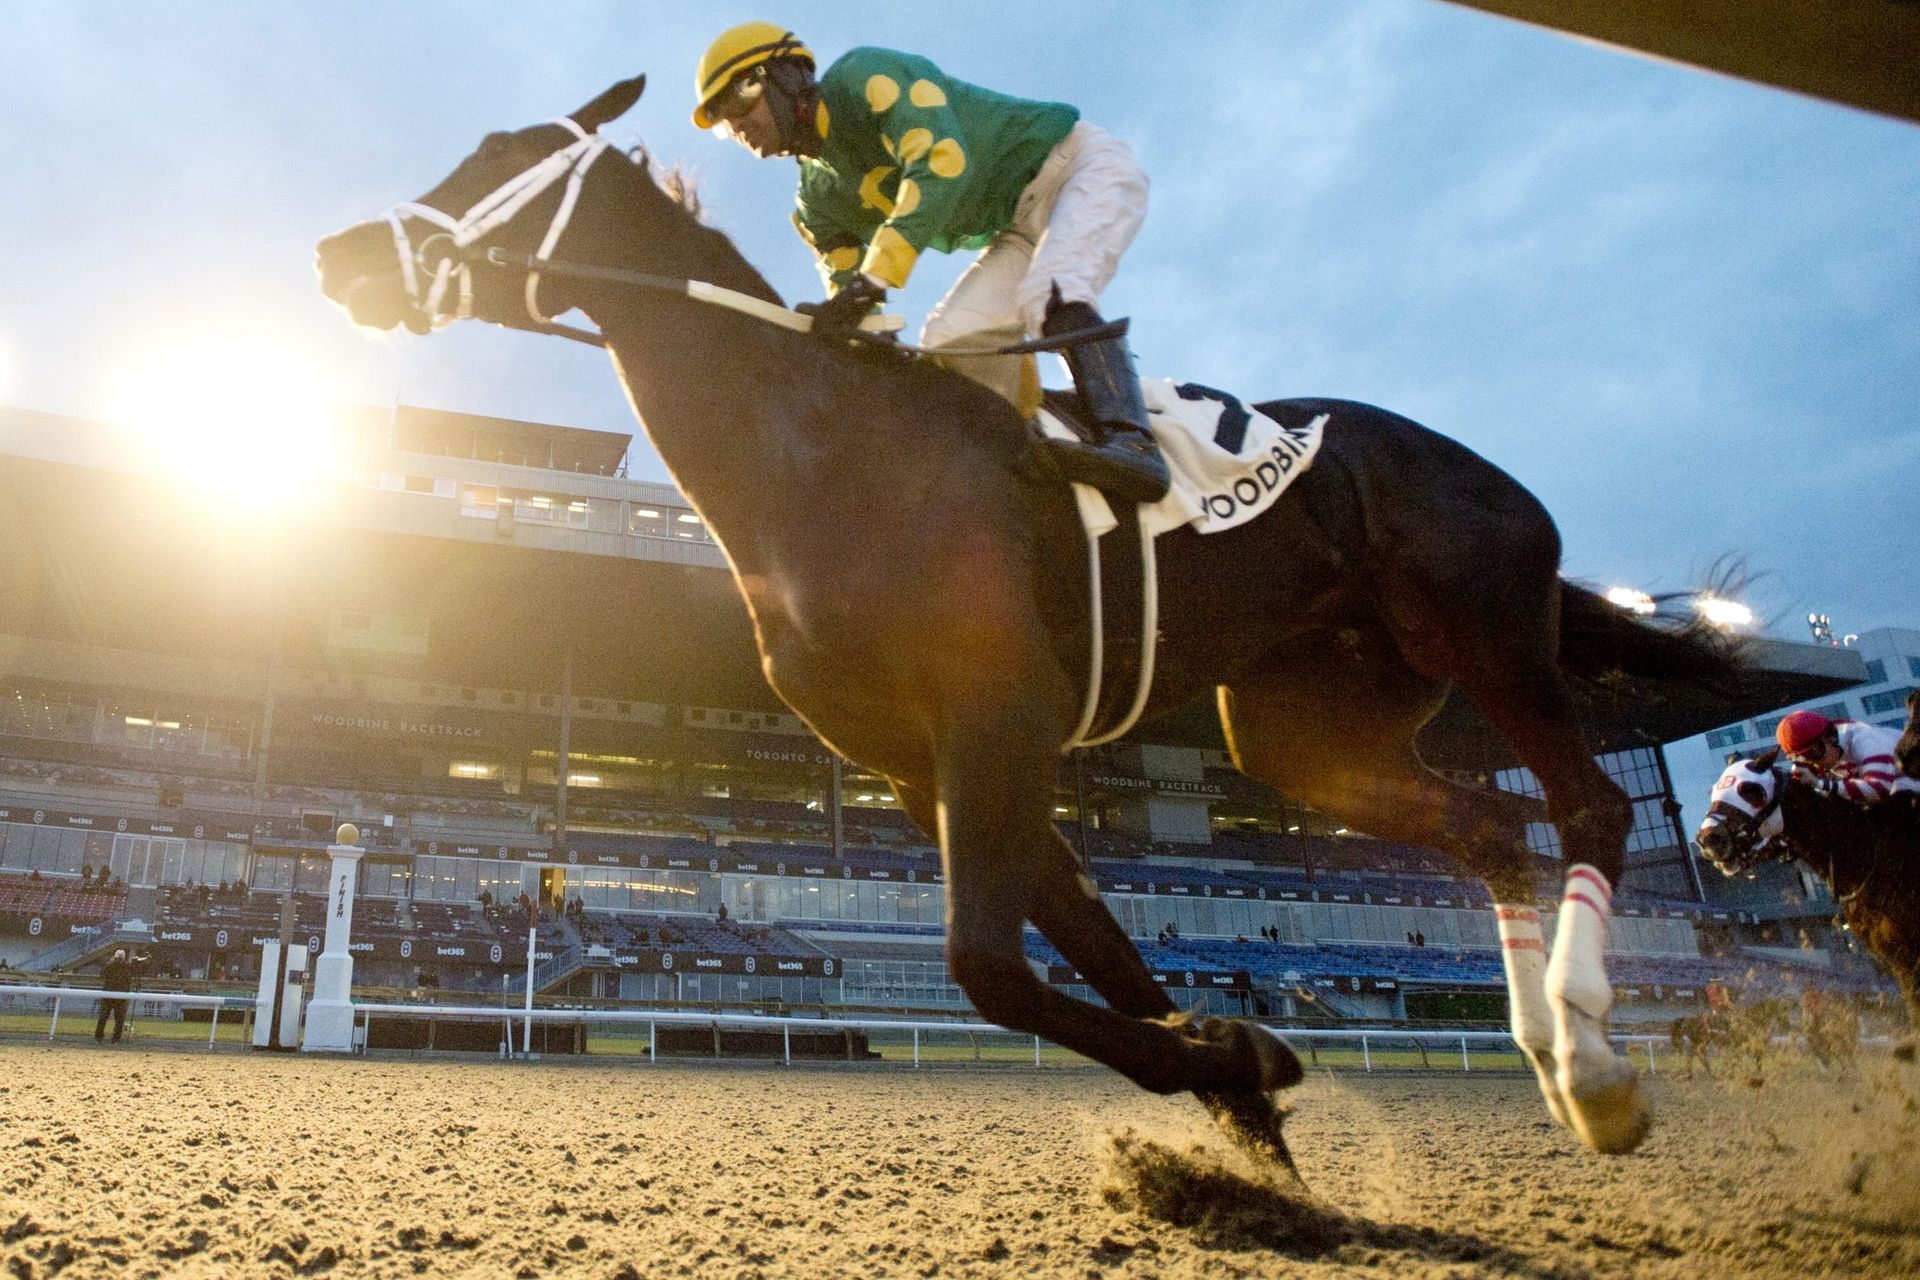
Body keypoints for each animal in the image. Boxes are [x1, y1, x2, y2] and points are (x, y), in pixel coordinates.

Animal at [314, 74, 1739, 1163]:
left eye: (501, 158)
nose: (339, 256)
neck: (824, 455)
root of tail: (1484, 471)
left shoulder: (998, 716)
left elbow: (994, 967)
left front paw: (1239, 1067)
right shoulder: (919, 758)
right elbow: (1100, 950)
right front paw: (1239, 1078)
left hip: (1488, 631)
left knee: (1587, 807)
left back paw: (1598, 1068)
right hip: (1309, 732)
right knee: (1494, 828)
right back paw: (1557, 1058)